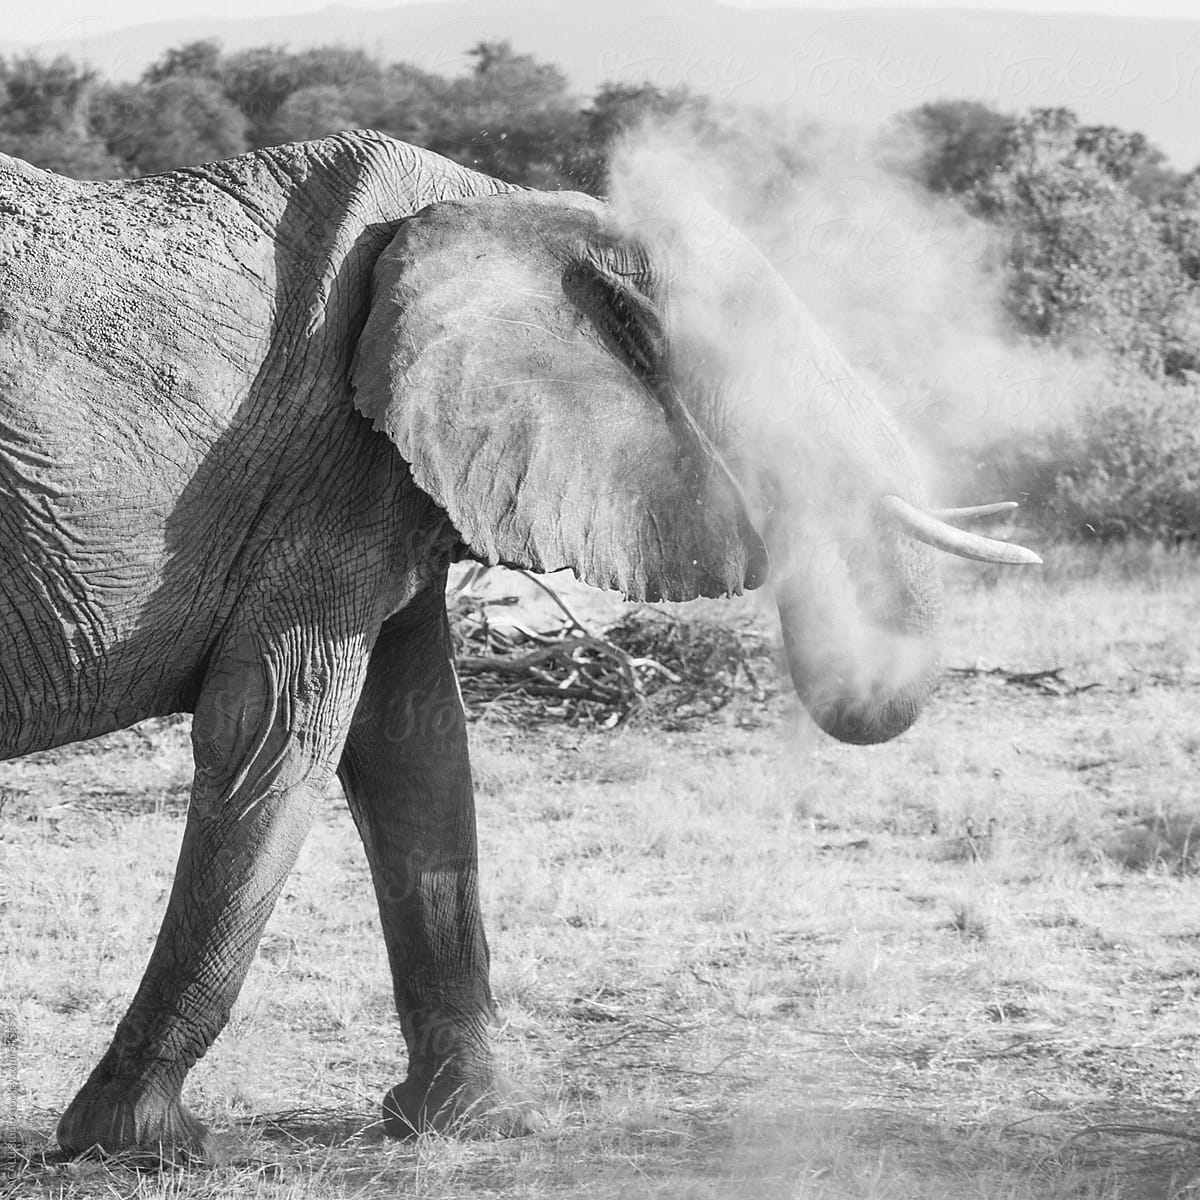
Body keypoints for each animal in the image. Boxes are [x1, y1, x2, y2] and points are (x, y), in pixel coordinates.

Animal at [0, 129, 1038, 1161]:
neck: (511, 205)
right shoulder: (324, 474)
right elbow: (275, 739)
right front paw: (139, 1142)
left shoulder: (383, 476)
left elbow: (416, 750)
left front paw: (470, 1122)